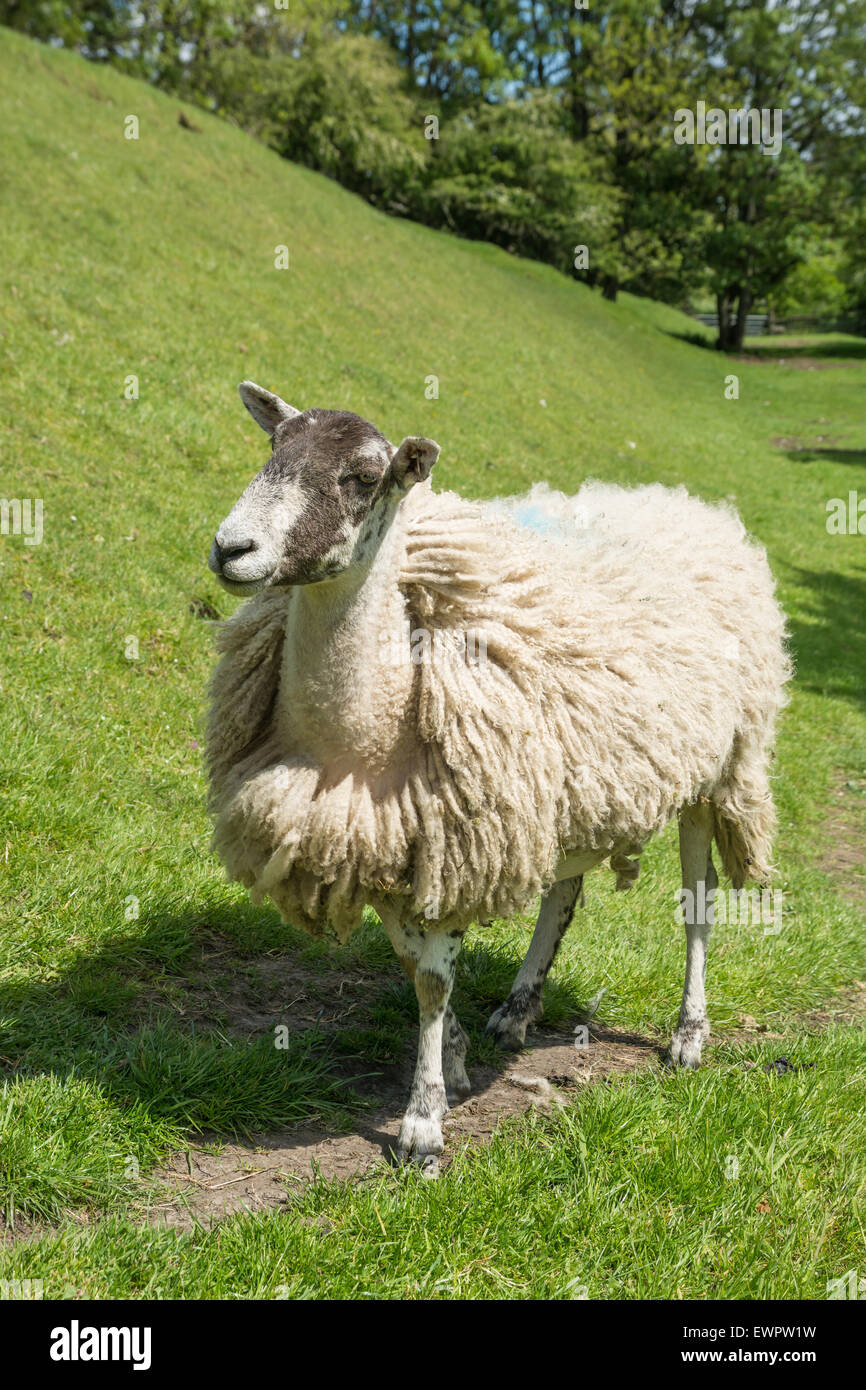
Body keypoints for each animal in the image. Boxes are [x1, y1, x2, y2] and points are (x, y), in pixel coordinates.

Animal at [206, 380, 791, 1176]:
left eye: (363, 477)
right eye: (274, 448)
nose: (231, 548)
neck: (360, 721)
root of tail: (689, 504)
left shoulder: (461, 834)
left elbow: (431, 978)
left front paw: (423, 1125)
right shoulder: (385, 837)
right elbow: (413, 963)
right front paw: (452, 1057)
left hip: (717, 767)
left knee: (697, 906)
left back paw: (688, 1035)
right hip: (566, 790)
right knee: (564, 892)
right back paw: (518, 1008)